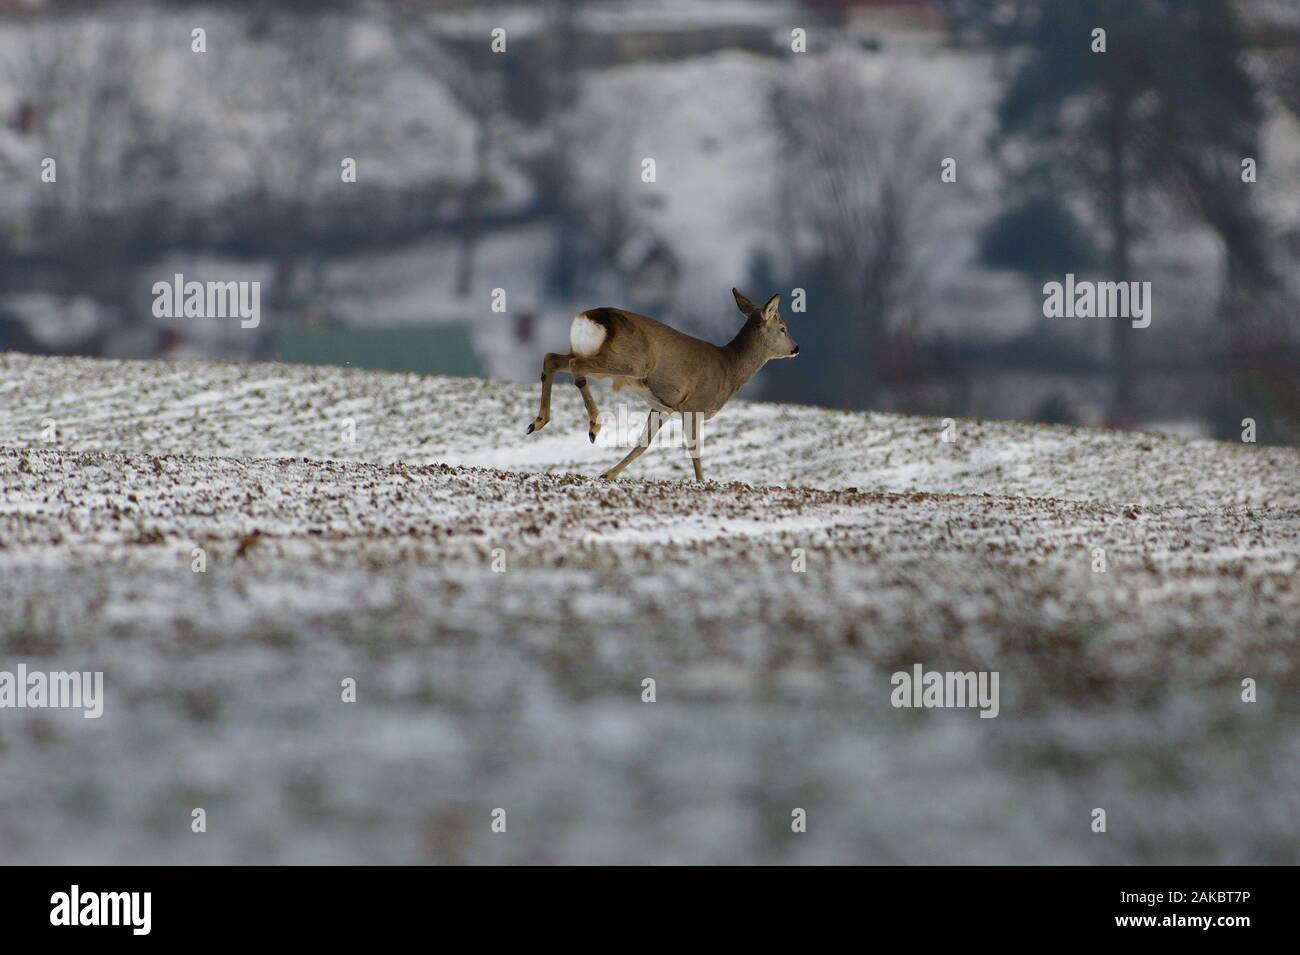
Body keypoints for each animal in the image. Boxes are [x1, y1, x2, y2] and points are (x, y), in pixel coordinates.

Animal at [526, 288, 799, 481]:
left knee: (551, 358)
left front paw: (608, 474)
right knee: (576, 367)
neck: (729, 369)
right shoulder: (693, 406)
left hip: (591, 355)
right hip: (628, 364)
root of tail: (590, 317)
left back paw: (537, 422)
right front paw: (702, 482)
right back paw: (594, 426)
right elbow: (694, 449)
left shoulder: (663, 407)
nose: (796, 348)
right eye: (783, 328)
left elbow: (643, 443)